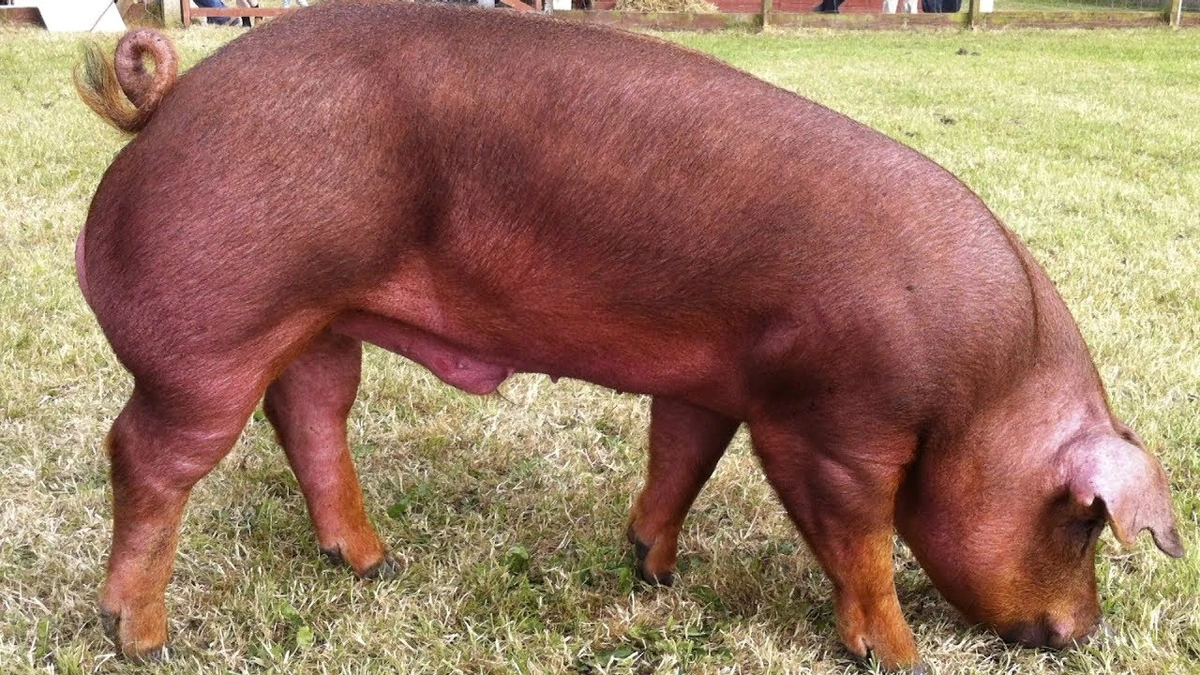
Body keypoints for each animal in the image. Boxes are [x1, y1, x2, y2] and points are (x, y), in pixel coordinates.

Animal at [73, 3, 1183, 670]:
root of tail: (170, 98)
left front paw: (651, 568)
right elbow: (860, 540)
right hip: (213, 332)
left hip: (315, 321)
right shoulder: (831, 427)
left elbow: (680, 460)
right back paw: (141, 638)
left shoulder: (710, 380)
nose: (1083, 634)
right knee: (148, 455)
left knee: (309, 414)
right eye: (1083, 521)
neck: (982, 393)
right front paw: (899, 656)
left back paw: (374, 564)